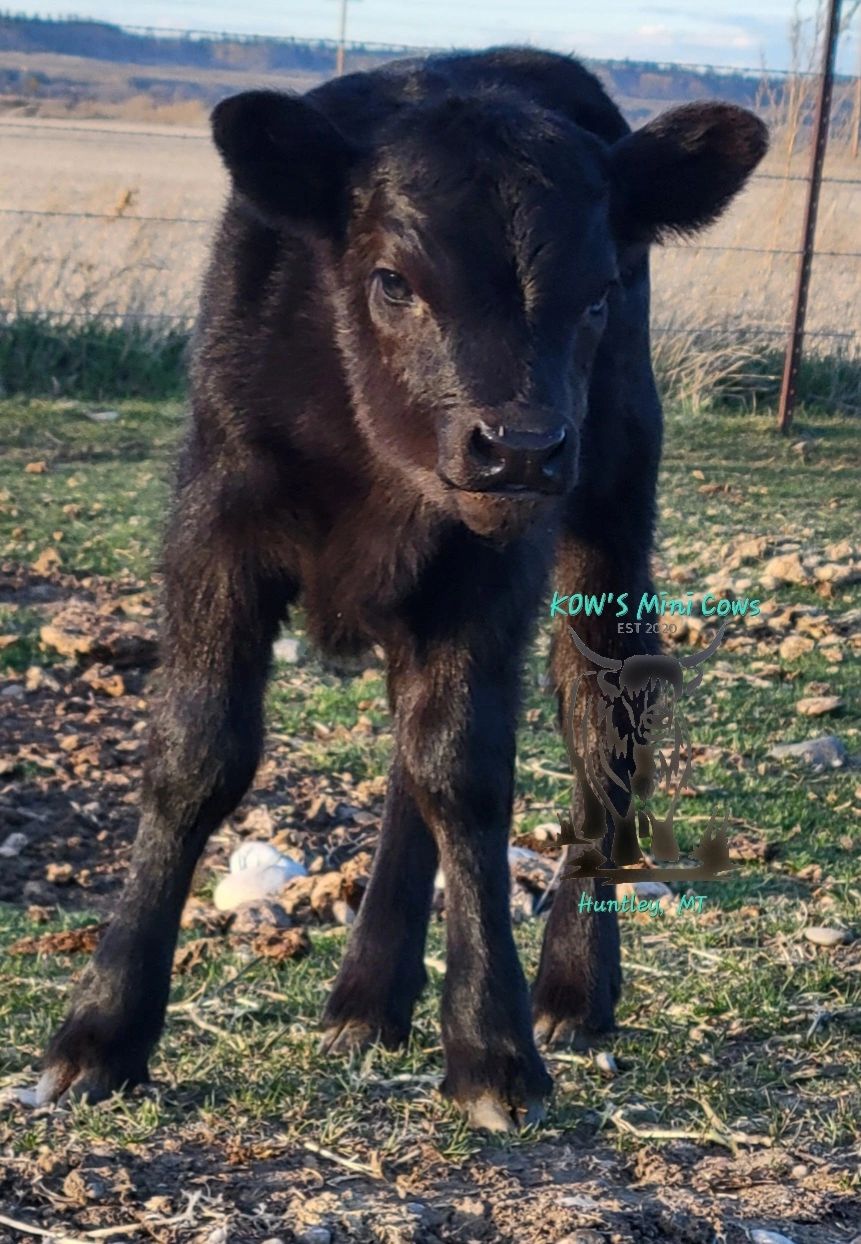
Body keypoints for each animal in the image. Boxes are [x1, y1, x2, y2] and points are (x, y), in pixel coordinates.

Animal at [37, 47, 767, 1132]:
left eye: (598, 291)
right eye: (391, 280)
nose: (520, 448)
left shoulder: (488, 566)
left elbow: (465, 774)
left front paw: (492, 1046)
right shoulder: (215, 526)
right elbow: (196, 753)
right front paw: (100, 1032)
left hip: (614, 497)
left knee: (600, 715)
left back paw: (570, 985)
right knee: (406, 762)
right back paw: (366, 996)